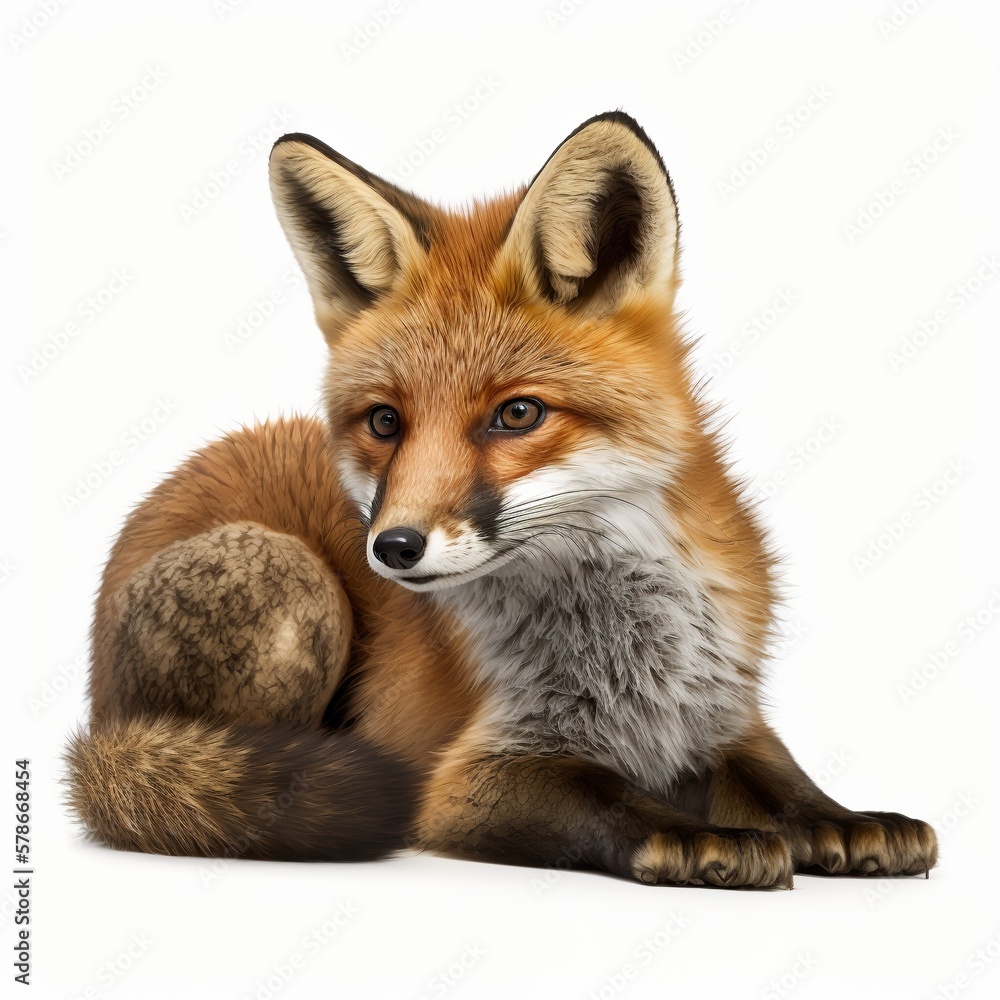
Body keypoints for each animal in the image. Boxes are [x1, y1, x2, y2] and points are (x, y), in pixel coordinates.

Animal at [65, 111, 938, 888]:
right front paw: (693, 833)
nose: (394, 547)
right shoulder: (469, 772)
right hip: (291, 578)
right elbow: (604, 794)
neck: (635, 650)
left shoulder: (721, 713)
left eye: (517, 414)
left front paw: (842, 820)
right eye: (385, 422)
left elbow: (783, 781)